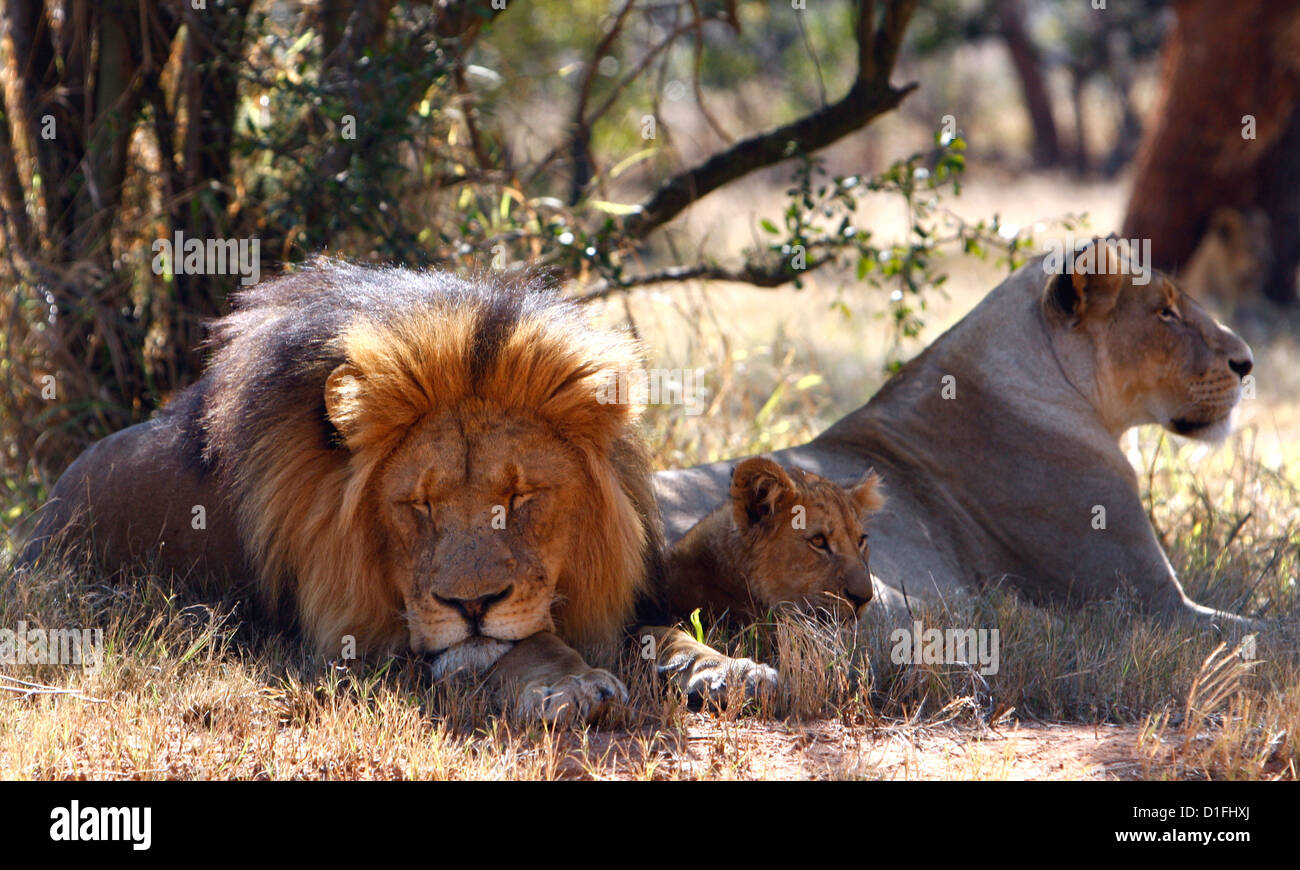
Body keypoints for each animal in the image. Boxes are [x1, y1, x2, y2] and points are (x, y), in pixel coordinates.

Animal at [20, 261, 663, 724]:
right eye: (419, 506)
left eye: (522, 497)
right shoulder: (356, 640)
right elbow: (516, 645)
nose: (472, 606)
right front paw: (571, 682)